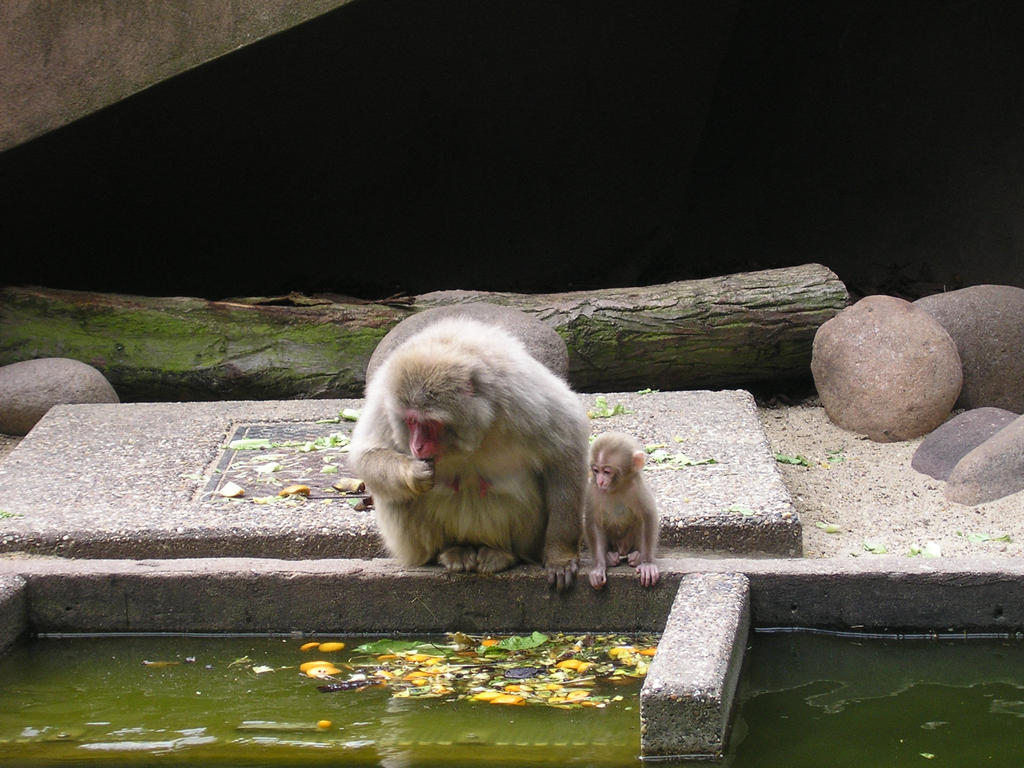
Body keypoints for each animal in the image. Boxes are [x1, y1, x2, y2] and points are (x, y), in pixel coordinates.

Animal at [350, 317, 589, 590]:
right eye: (410, 421)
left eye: (430, 423)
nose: (417, 446)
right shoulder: (384, 399)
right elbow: (366, 455)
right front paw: (414, 472)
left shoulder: (522, 394)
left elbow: (566, 446)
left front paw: (561, 555)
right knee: (396, 496)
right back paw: (451, 551)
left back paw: (503, 554)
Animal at [584, 432, 660, 589]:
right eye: (596, 470)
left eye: (607, 471)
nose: (600, 481)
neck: (616, 488)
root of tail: (622, 550)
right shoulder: (592, 491)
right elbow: (593, 523)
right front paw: (598, 568)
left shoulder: (638, 488)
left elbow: (648, 517)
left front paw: (647, 564)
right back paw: (609, 557)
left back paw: (637, 556)